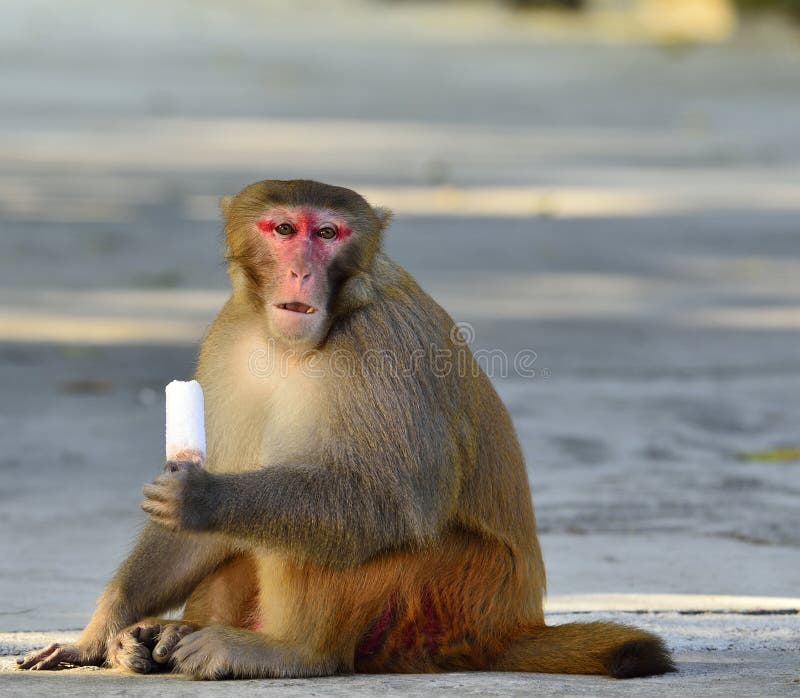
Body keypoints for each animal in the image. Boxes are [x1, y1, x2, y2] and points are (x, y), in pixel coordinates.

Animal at [18, 179, 674, 680]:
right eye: (284, 230)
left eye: (328, 235)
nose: (301, 272)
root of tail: (513, 624)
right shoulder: (230, 335)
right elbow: (203, 523)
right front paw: (96, 633)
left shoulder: (384, 346)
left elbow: (390, 502)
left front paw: (203, 497)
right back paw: (169, 635)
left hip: (455, 598)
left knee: (346, 528)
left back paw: (289, 651)